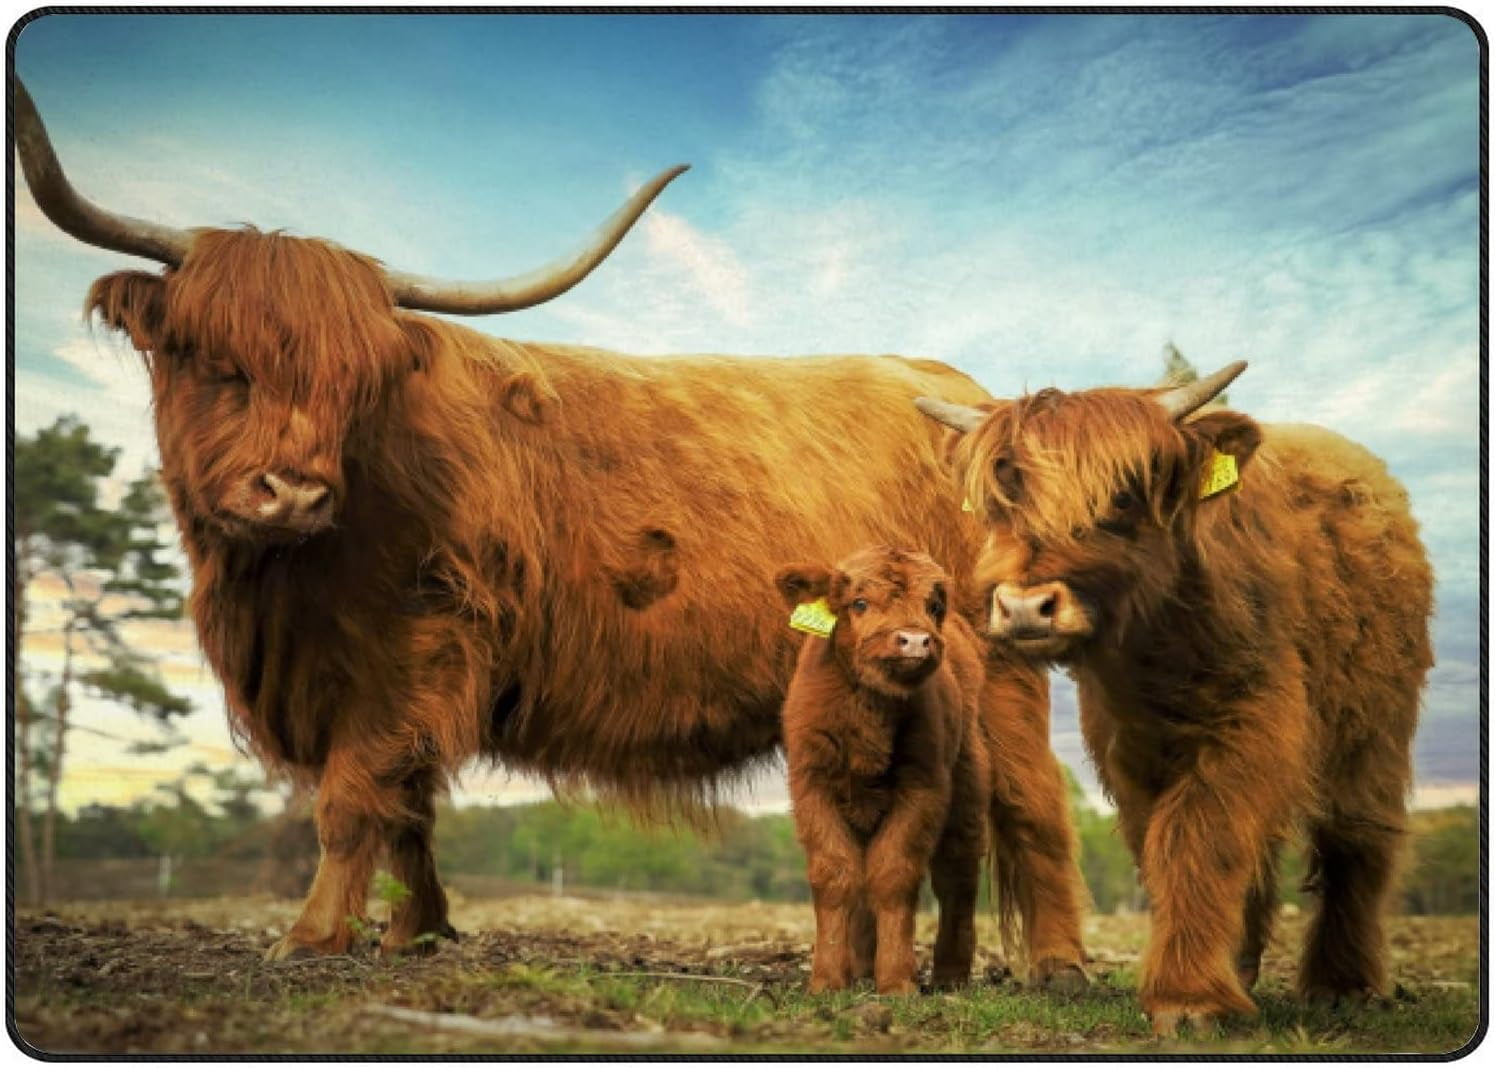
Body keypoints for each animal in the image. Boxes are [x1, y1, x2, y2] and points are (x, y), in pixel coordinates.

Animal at [775, 547, 990, 994]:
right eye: (859, 603)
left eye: (933, 606)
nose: (915, 640)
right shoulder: (811, 785)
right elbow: (836, 875)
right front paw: (827, 979)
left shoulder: (923, 786)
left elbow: (894, 875)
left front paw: (896, 980)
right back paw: (859, 967)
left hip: (967, 790)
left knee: (957, 876)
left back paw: (951, 975)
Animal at [915, 363, 1433, 1034]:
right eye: (1006, 495)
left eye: (1122, 496)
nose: (1026, 607)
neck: (1160, 647)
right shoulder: (1127, 748)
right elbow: (1162, 842)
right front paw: (1208, 977)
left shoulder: (1252, 721)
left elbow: (1202, 835)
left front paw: (1188, 997)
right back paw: (1244, 963)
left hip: (1374, 726)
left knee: (1357, 835)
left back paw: (1343, 985)